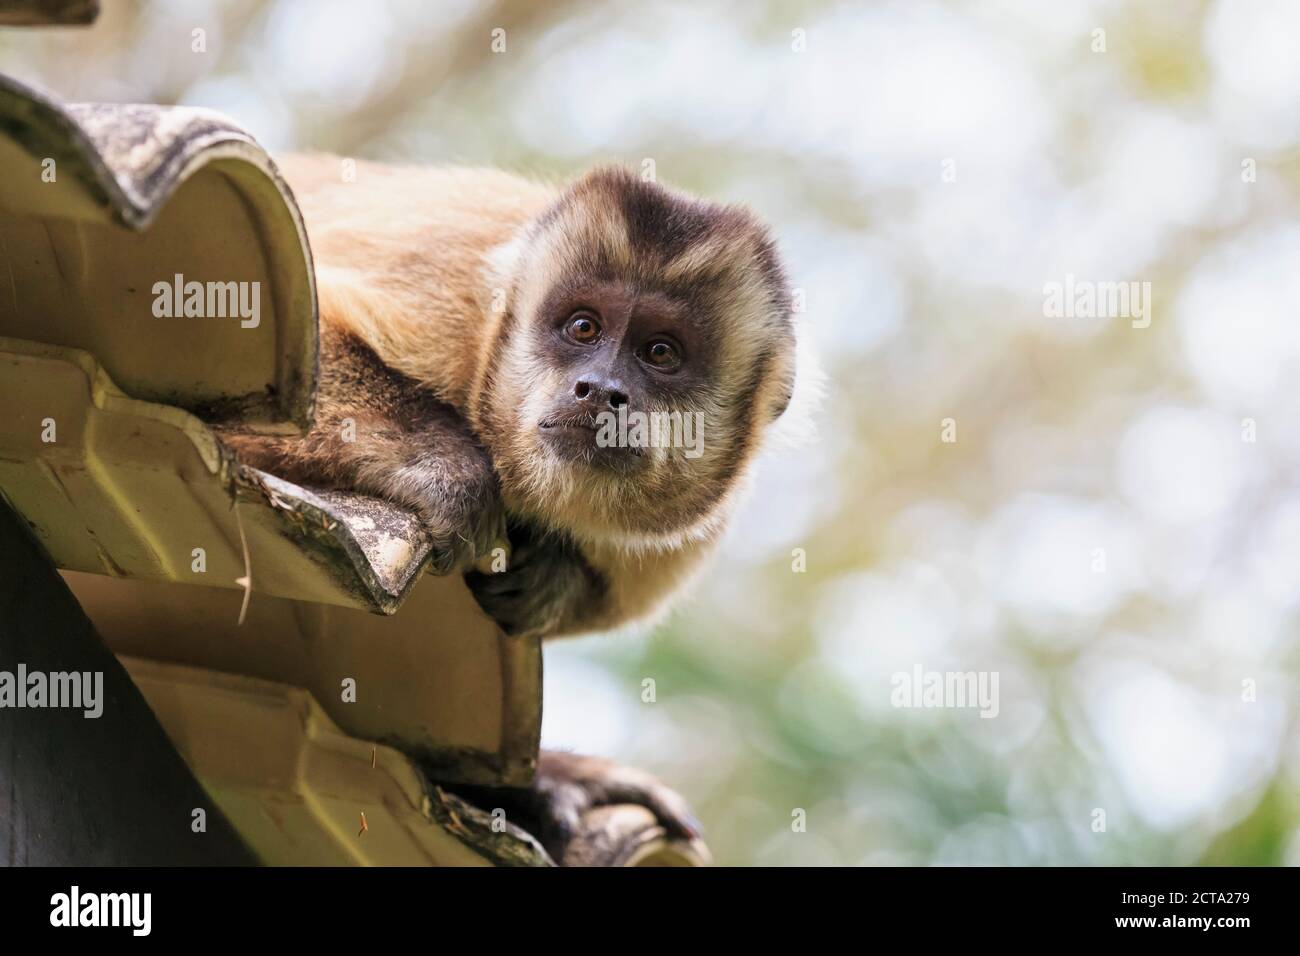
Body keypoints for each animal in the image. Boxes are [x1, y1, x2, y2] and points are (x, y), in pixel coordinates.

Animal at [215, 156, 800, 861]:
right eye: (583, 327)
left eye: (661, 352)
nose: (600, 388)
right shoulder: (449, 290)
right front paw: (448, 469)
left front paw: (554, 579)